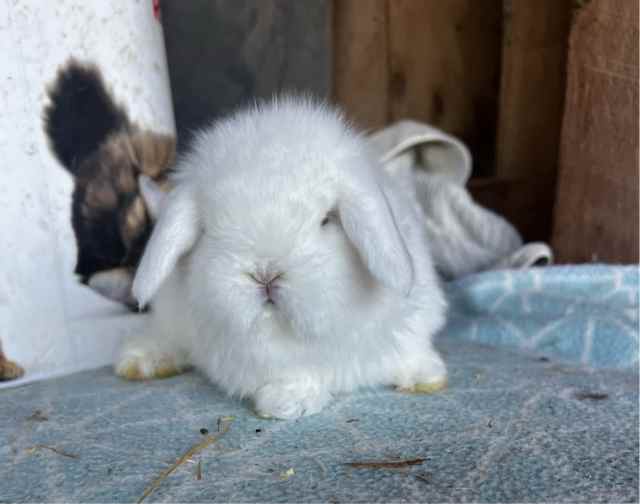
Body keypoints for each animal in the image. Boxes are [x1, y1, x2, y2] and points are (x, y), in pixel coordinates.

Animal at [115, 97, 448, 419]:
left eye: (327, 220)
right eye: (208, 230)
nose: (265, 274)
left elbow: (409, 347)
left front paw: (425, 376)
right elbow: (296, 377)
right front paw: (287, 403)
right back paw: (140, 361)